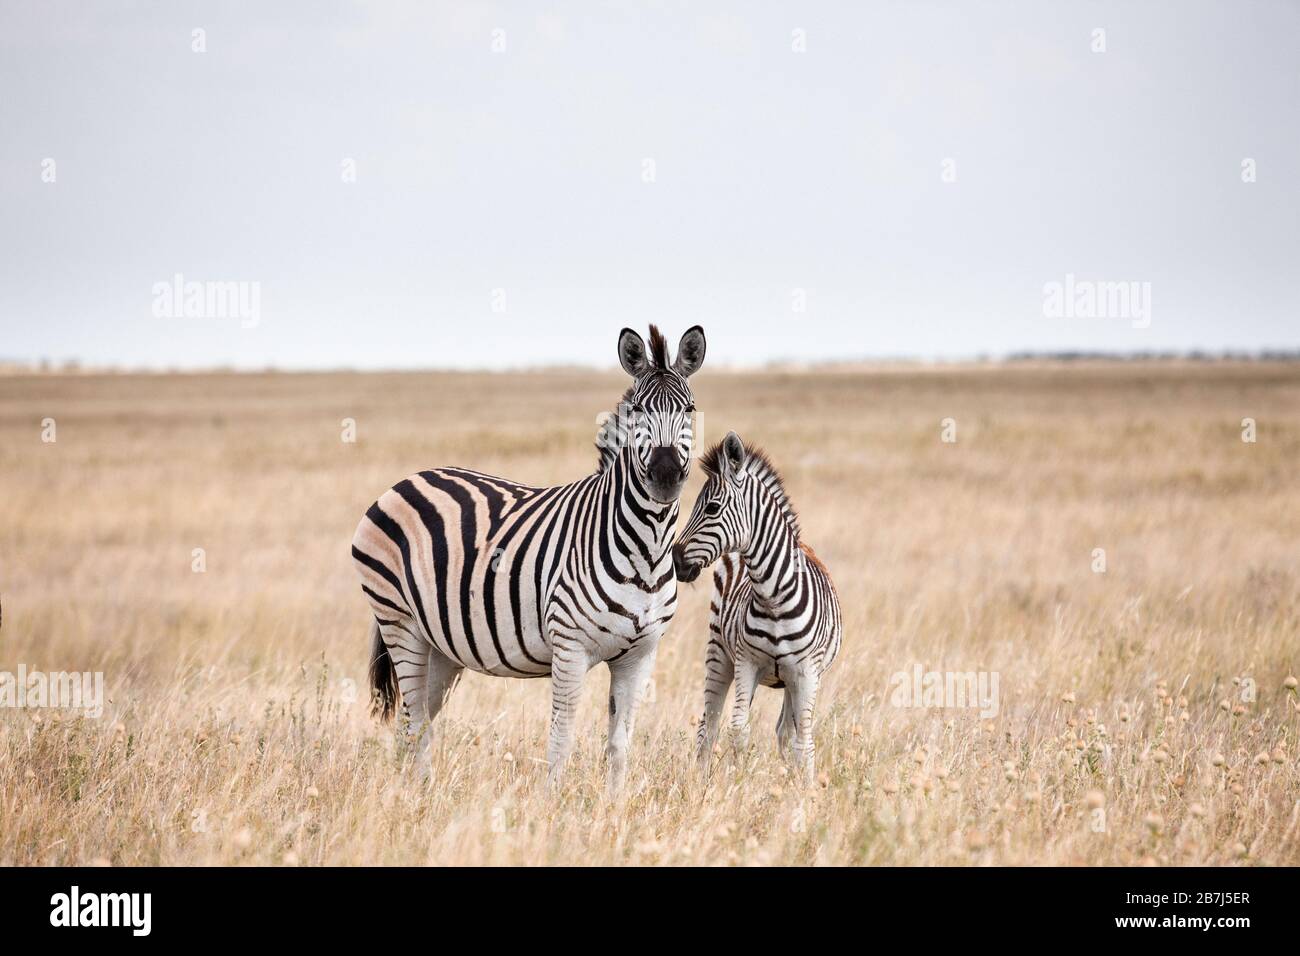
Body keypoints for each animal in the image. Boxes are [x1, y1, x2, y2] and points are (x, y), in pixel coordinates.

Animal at [352, 325, 706, 789]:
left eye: (689, 409)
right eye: (638, 411)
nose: (665, 476)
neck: (645, 551)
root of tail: (406, 480)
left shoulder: (640, 656)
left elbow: (618, 747)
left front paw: (614, 805)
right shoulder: (570, 647)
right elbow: (562, 741)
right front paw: (553, 804)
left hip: (440, 643)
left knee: (415, 722)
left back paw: (410, 792)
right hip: (399, 620)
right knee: (414, 725)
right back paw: (417, 795)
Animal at [672, 431, 842, 784]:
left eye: (712, 507)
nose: (676, 562)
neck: (773, 596)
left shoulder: (806, 672)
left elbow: (803, 740)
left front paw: (804, 788)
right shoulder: (746, 663)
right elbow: (738, 731)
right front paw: (737, 784)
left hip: (792, 679)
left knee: (786, 731)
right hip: (718, 653)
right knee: (709, 725)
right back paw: (700, 779)